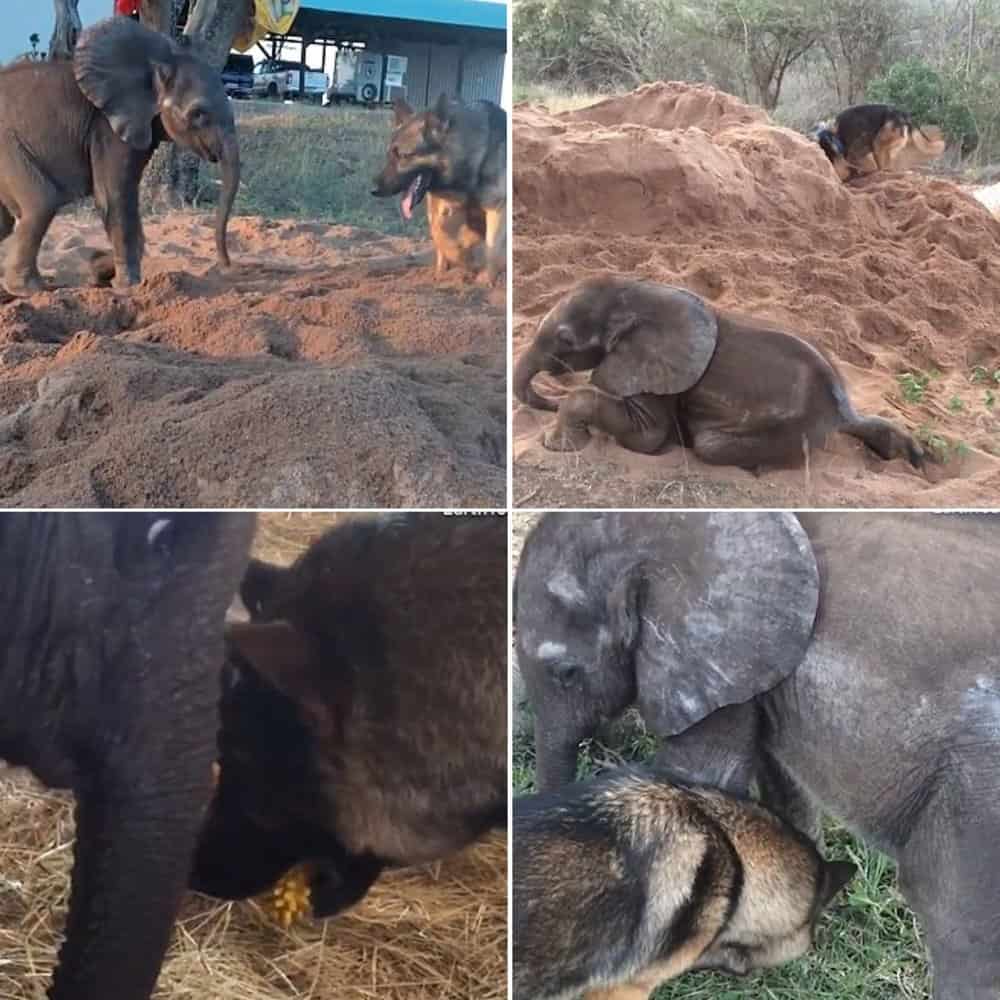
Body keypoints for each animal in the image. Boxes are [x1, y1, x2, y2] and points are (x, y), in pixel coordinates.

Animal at [0, 17, 240, 296]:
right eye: (199, 114)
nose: (227, 267)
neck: (161, 61)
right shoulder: (106, 127)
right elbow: (114, 196)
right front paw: (128, 285)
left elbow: (126, 198)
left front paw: (99, 269)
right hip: (7, 148)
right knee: (41, 204)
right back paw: (31, 289)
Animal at [513, 275, 924, 471]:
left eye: (565, 339)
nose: (546, 400)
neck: (637, 293)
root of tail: (840, 411)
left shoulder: (662, 373)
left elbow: (647, 437)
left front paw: (557, 446)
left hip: (796, 427)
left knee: (710, 446)